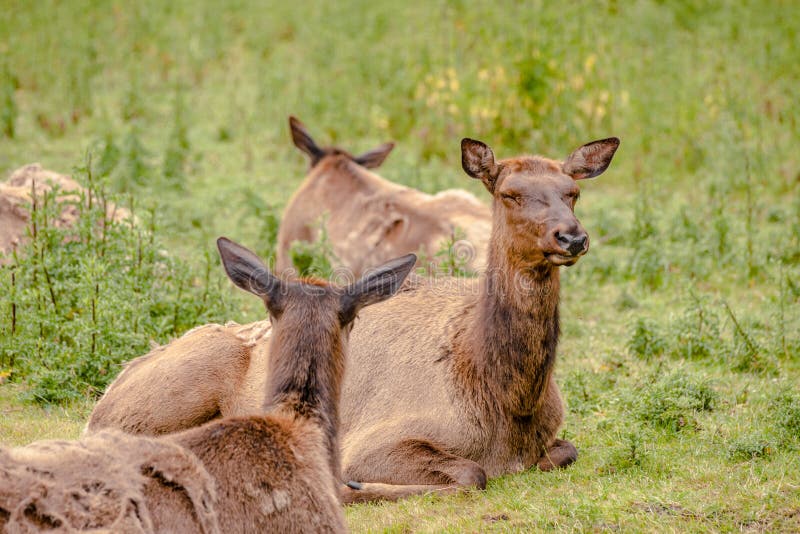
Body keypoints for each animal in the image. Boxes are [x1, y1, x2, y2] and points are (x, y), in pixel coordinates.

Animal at [87, 135, 620, 503]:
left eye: (572, 191)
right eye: (509, 193)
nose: (572, 236)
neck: (504, 400)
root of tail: (111, 386)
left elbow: (566, 452)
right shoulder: (374, 441)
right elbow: (473, 473)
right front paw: (358, 486)